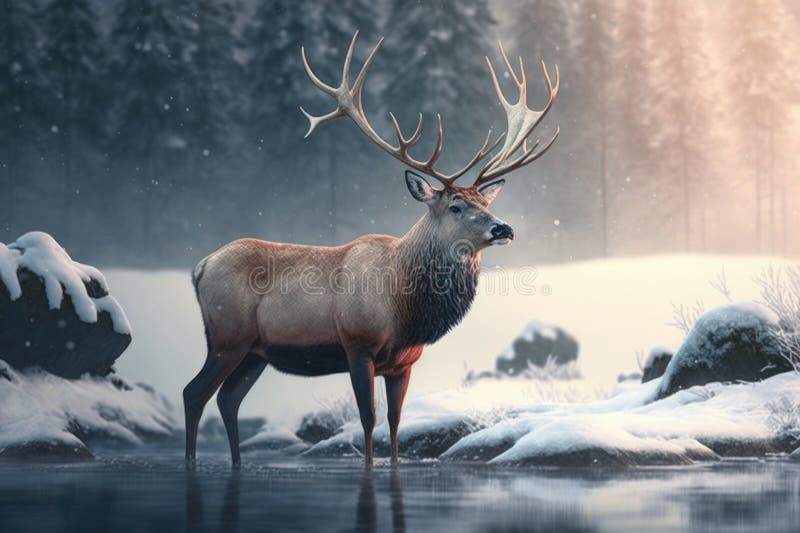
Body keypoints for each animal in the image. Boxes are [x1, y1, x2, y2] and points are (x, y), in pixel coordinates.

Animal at [183, 31, 559, 468]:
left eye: (486, 203)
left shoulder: (403, 363)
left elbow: (395, 423)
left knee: (227, 399)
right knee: (194, 393)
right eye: (455, 205)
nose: (504, 228)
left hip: (255, 352)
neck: (405, 307)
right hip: (227, 336)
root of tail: (200, 266)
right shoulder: (357, 344)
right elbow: (368, 420)